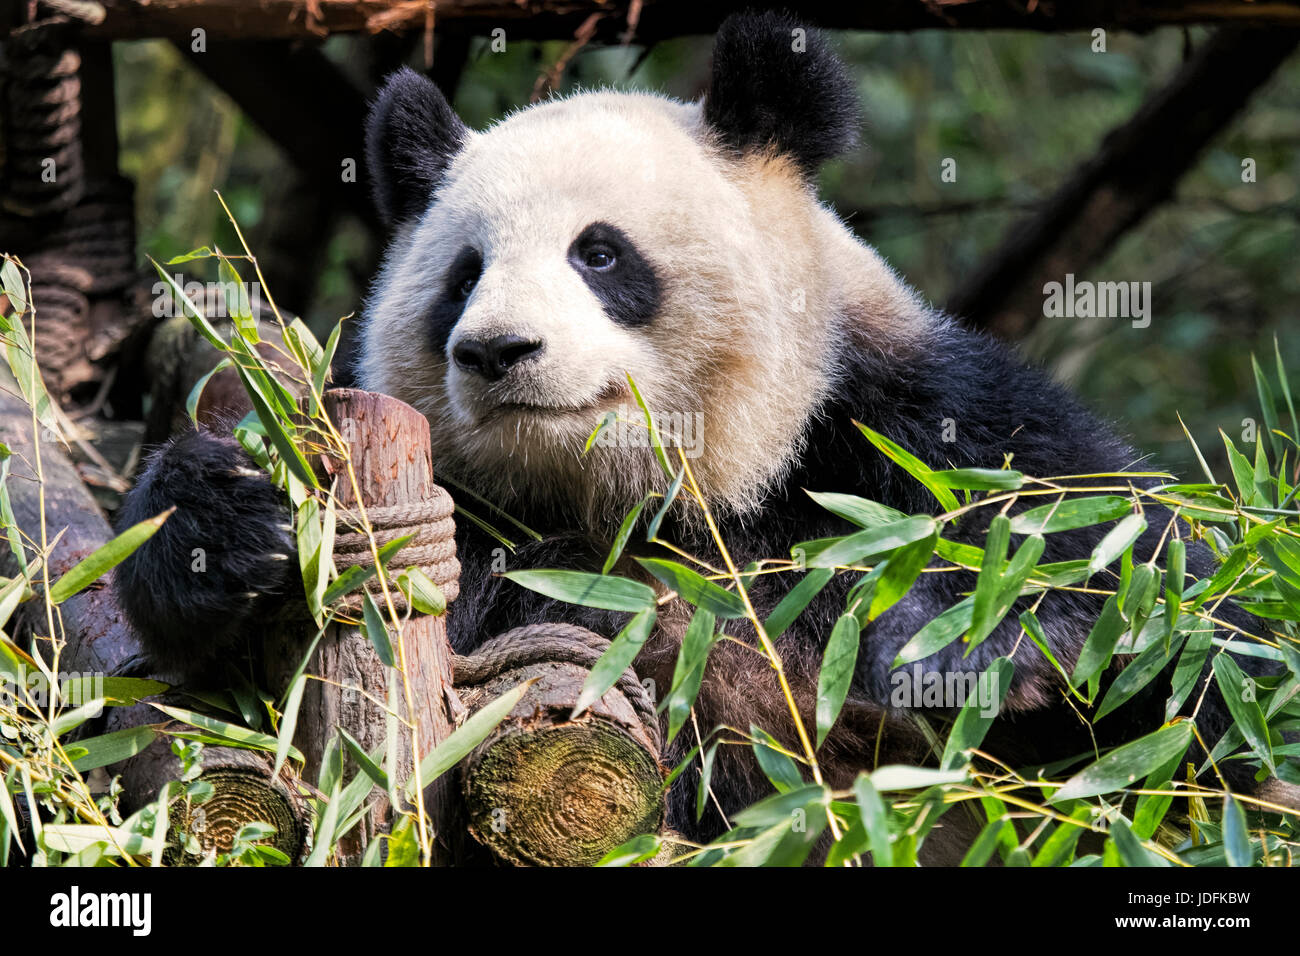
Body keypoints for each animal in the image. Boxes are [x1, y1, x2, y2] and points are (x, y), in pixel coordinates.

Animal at [115, 11, 1276, 862]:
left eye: (598, 253)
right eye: (462, 275)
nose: (496, 349)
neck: (653, 503)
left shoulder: (902, 426)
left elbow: (1182, 637)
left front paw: (972, 640)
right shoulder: (483, 517)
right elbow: (220, 714)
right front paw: (223, 525)